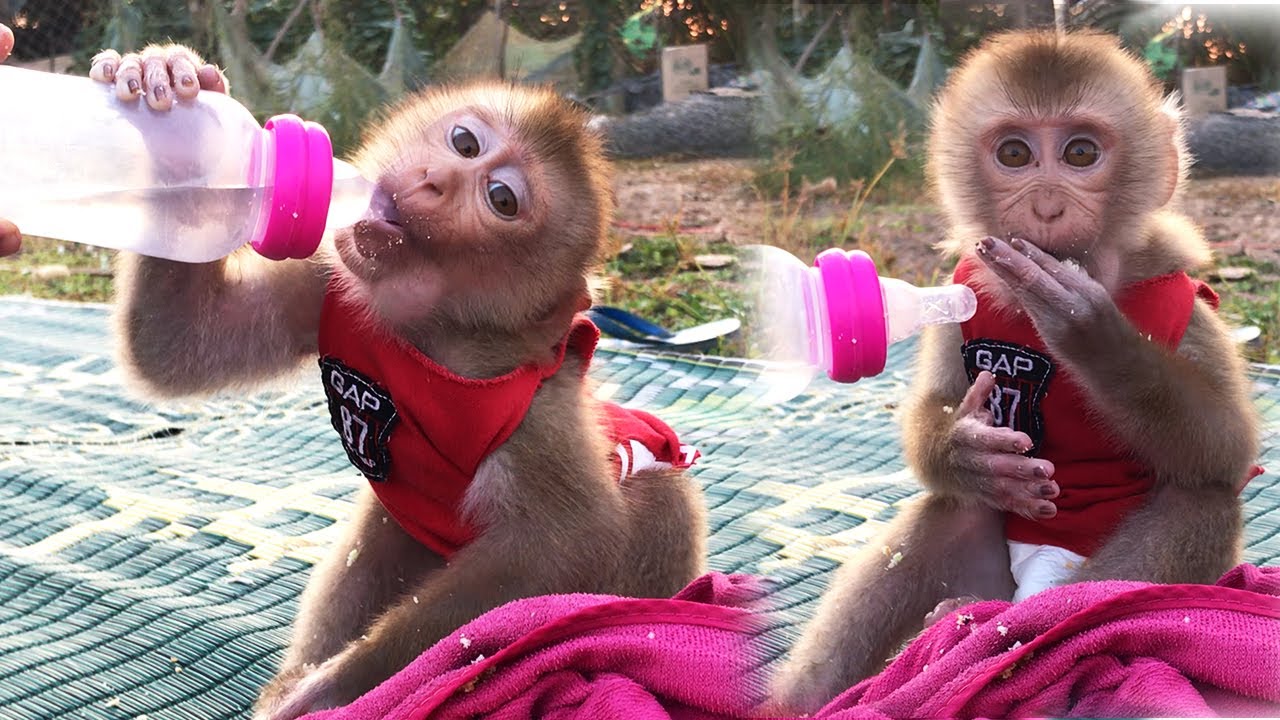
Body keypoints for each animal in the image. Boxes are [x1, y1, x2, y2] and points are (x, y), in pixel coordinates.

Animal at [91, 46, 707, 720]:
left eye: (502, 198)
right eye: (464, 141)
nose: (433, 180)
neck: (431, 343)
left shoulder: (537, 413)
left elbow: (566, 541)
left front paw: (332, 688)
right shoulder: (329, 279)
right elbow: (179, 347)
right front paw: (170, 87)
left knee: (657, 499)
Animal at [769, 29, 1260, 713]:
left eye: (1080, 153)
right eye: (1014, 154)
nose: (1047, 207)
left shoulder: (1185, 301)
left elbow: (1226, 450)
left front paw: (1089, 330)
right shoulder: (961, 287)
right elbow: (942, 410)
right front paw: (967, 448)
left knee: (1199, 503)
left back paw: (1001, 633)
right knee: (955, 508)